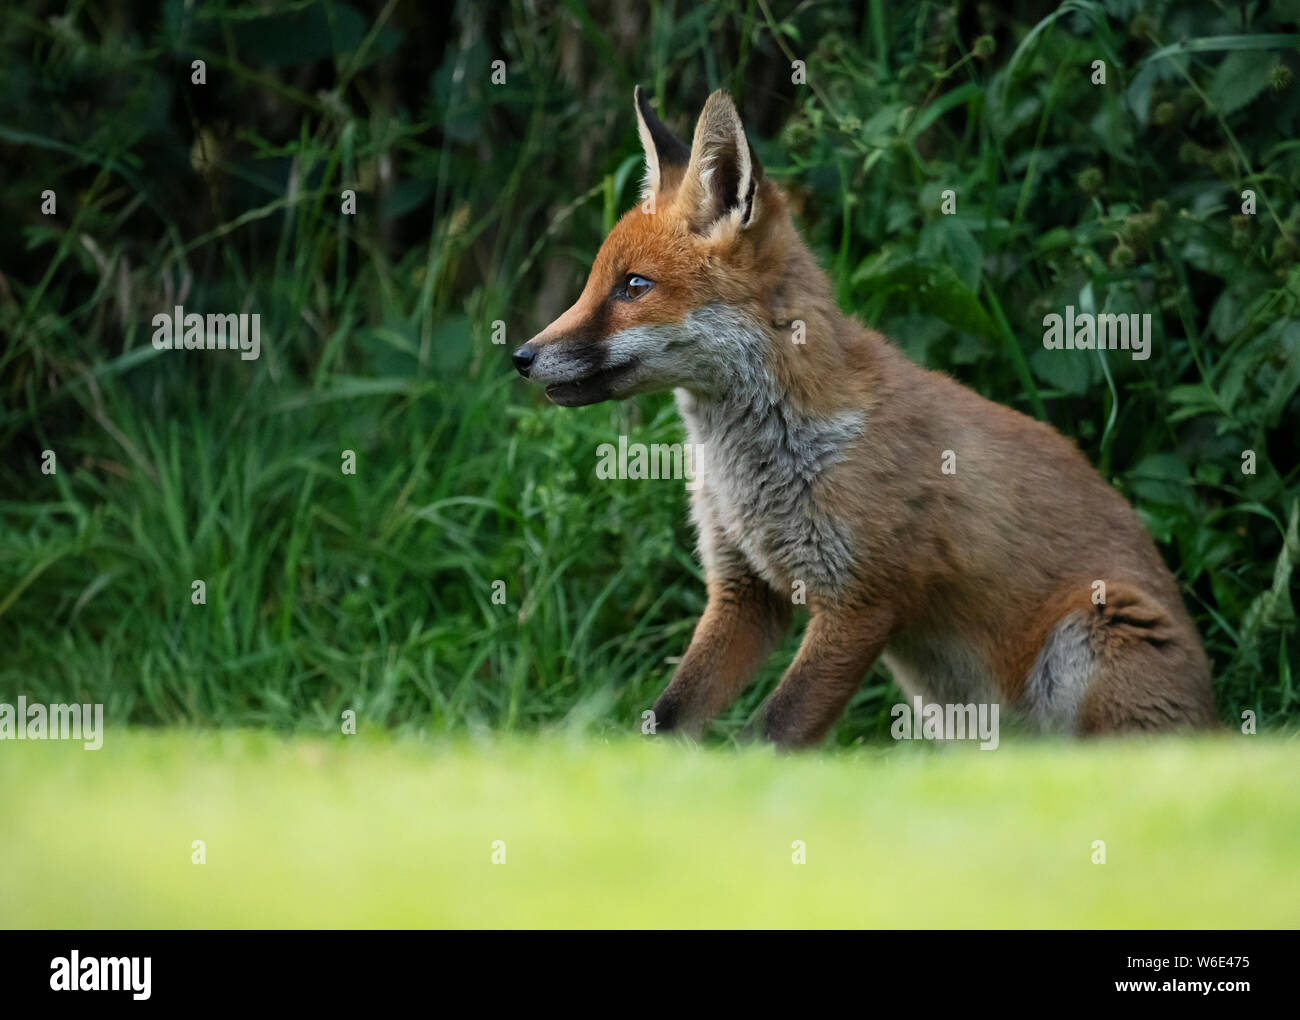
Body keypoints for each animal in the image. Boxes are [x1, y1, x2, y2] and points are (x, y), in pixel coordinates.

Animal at [513, 86, 1219, 747]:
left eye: (633, 286)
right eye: (594, 282)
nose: (521, 356)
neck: (758, 467)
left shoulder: (861, 601)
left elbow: (768, 735)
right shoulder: (744, 593)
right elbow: (666, 719)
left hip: (1094, 635)